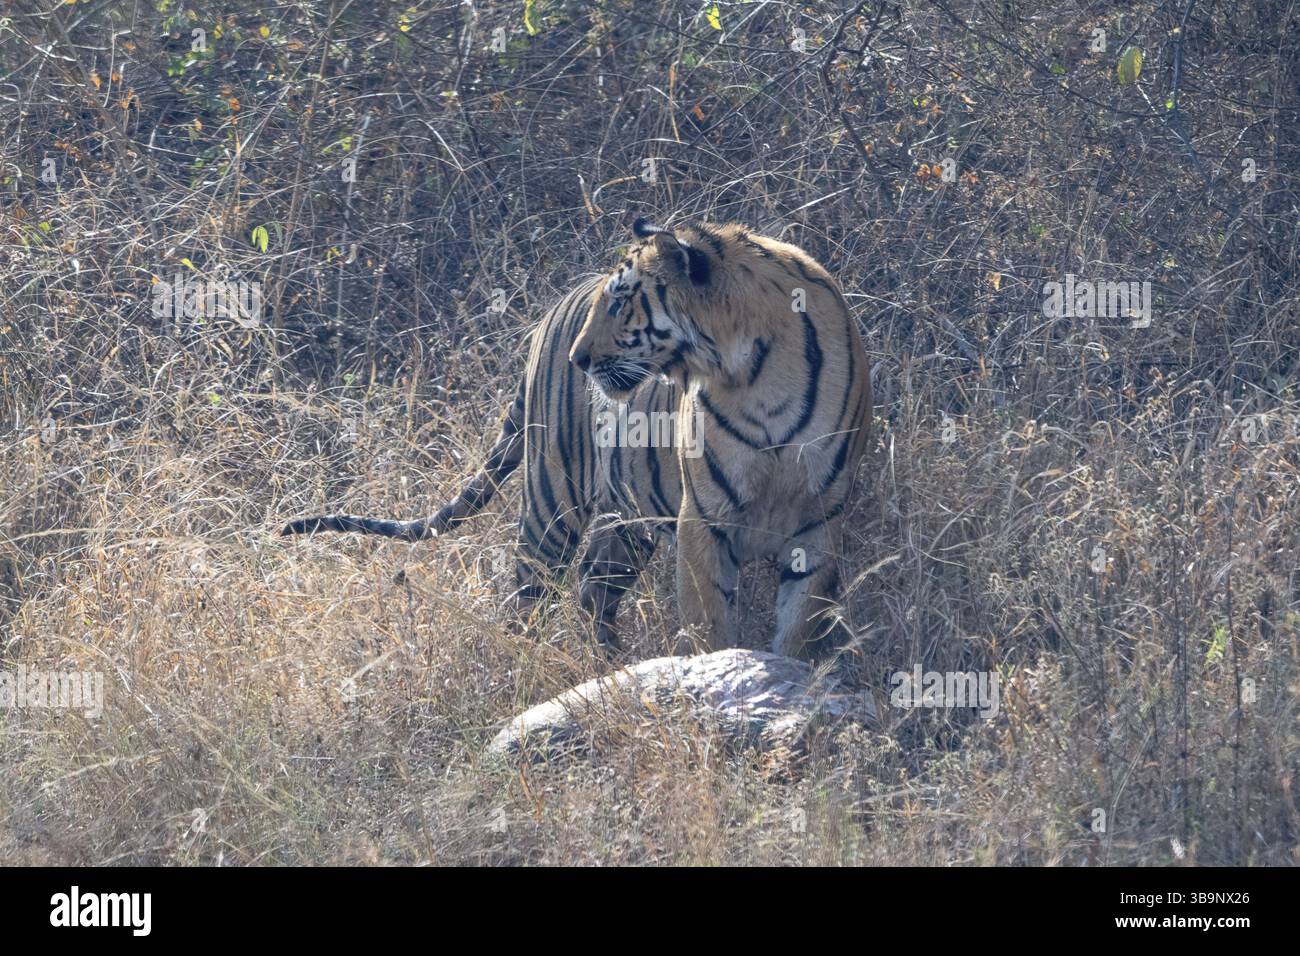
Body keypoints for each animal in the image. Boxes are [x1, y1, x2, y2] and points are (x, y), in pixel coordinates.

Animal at [283, 217, 872, 658]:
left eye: (620, 302)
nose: (579, 359)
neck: (755, 378)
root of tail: (547, 318)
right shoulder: (703, 518)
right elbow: (710, 623)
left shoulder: (819, 522)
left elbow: (799, 626)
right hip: (552, 502)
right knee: (527, 596)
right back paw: (526, 668)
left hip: (624, 521)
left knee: (592, 589)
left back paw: (609, 665)